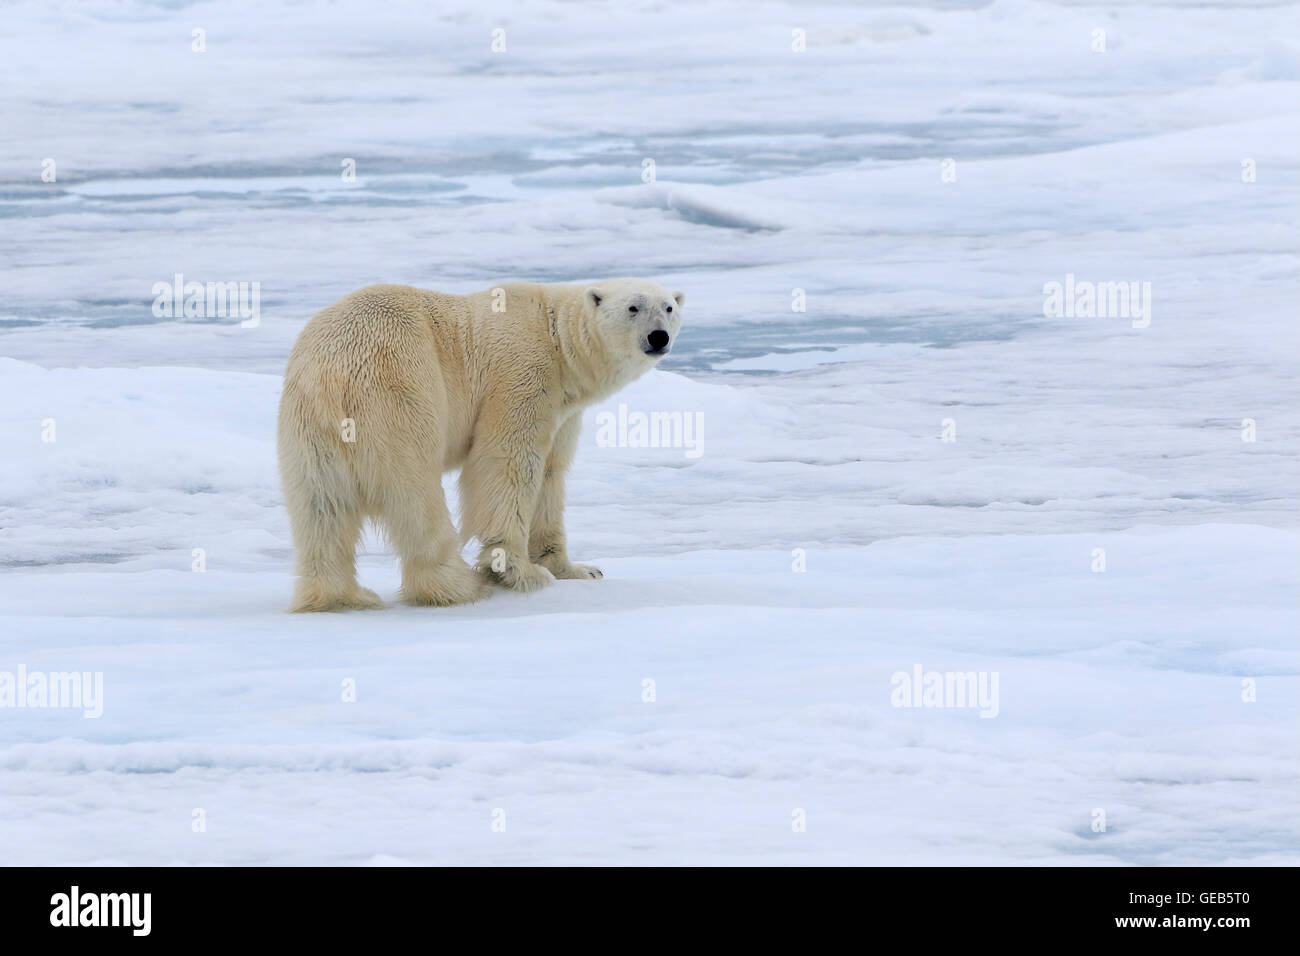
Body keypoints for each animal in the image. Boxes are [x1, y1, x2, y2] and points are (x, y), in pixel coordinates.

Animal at [276, 278, 684, 612]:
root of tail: (334, 372)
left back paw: (339, 596)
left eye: (668, 307)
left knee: (321, 508)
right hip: (401, 394)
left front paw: (578, 569)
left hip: (308, 432)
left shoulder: (564, 410)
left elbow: (551, 473)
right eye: (633, 307)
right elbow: (508, 462)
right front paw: (521, 573)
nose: (658, 337)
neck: (555, 336)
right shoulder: (522, 374)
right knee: (416, 498)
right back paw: (459, 585)